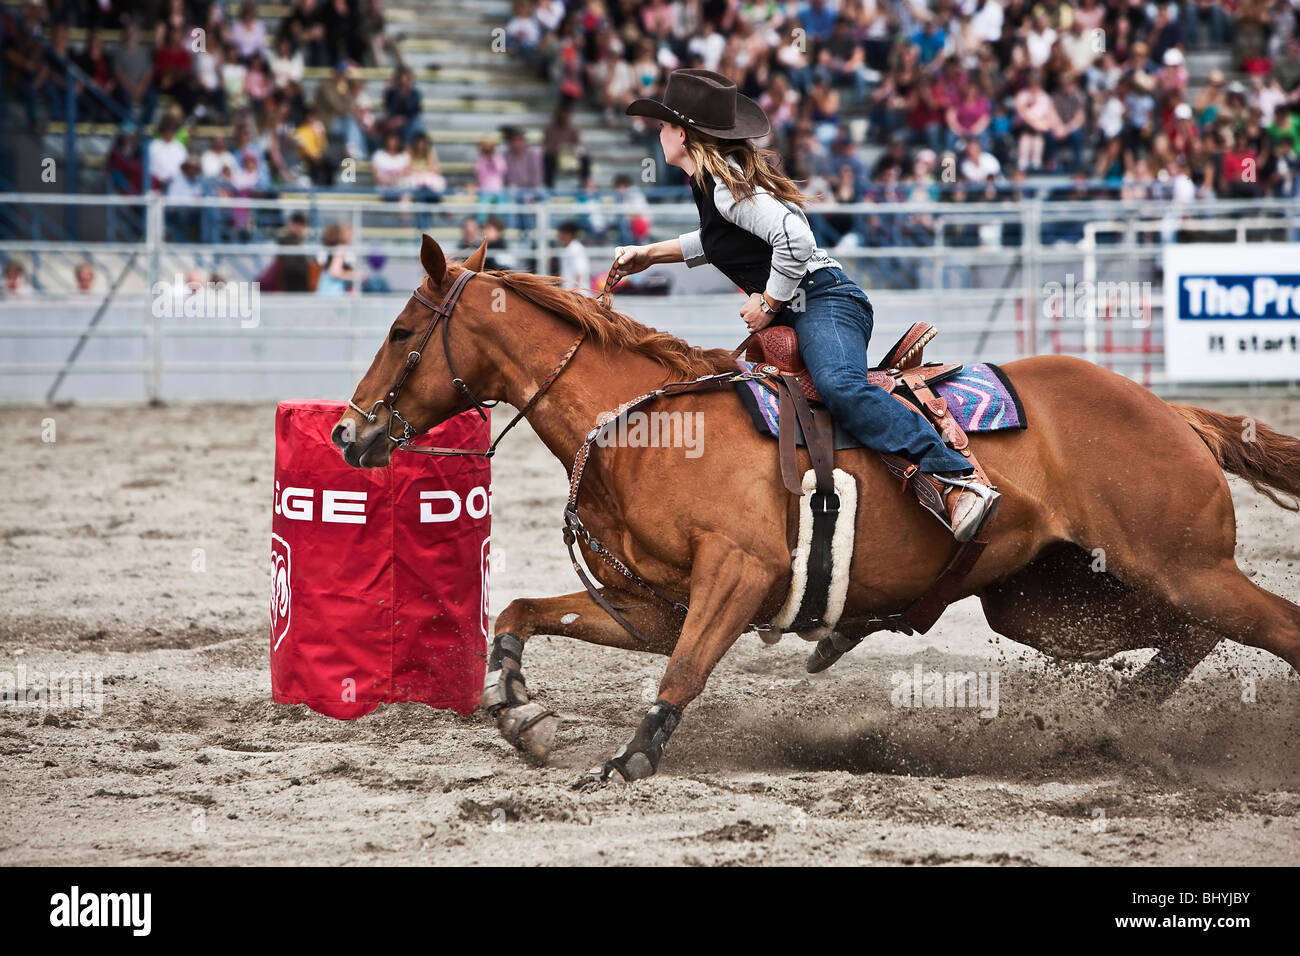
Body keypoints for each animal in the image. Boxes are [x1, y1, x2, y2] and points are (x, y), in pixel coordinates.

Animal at [333, 235, 1300, 784]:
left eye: (400, 331)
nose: (348, 432)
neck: (647, 424)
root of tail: (1174, 412)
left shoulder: (737, 574)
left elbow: (683, 673)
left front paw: (628, 758)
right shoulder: (653, 603)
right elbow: (520, 611)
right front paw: (519, 713)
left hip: (1181, 566)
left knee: (1270, 624)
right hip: (1051, 603)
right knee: (1187, 635)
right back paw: (1124, 716)